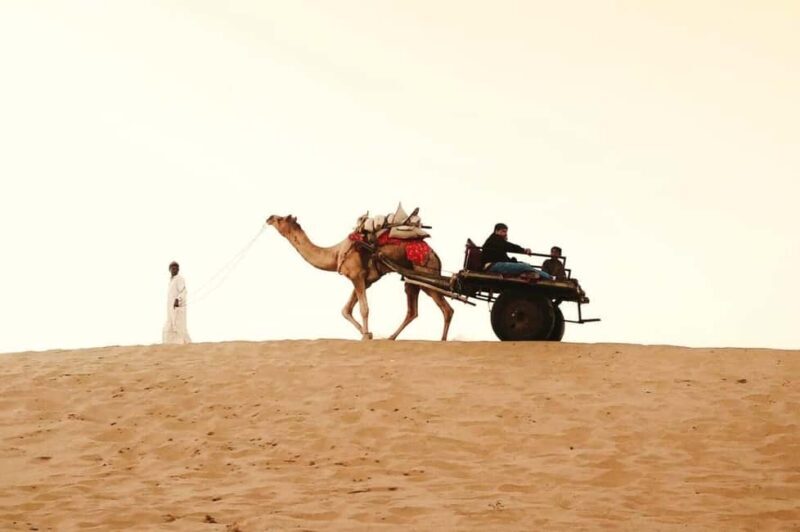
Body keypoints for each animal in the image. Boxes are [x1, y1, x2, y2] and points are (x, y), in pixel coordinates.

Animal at [266, 214, 453, 340]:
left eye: (281, 219)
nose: (269, 218)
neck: (336, 254)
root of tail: (435, 255)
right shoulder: (364, 280)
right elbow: (346, 309)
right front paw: (367, 333)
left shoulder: (357, 276)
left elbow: (364, 308)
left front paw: (365, 335)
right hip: (412, 281)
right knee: (413, 311)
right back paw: (391, 337)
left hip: (425, 275)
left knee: (446, 308)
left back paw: (442, 340)